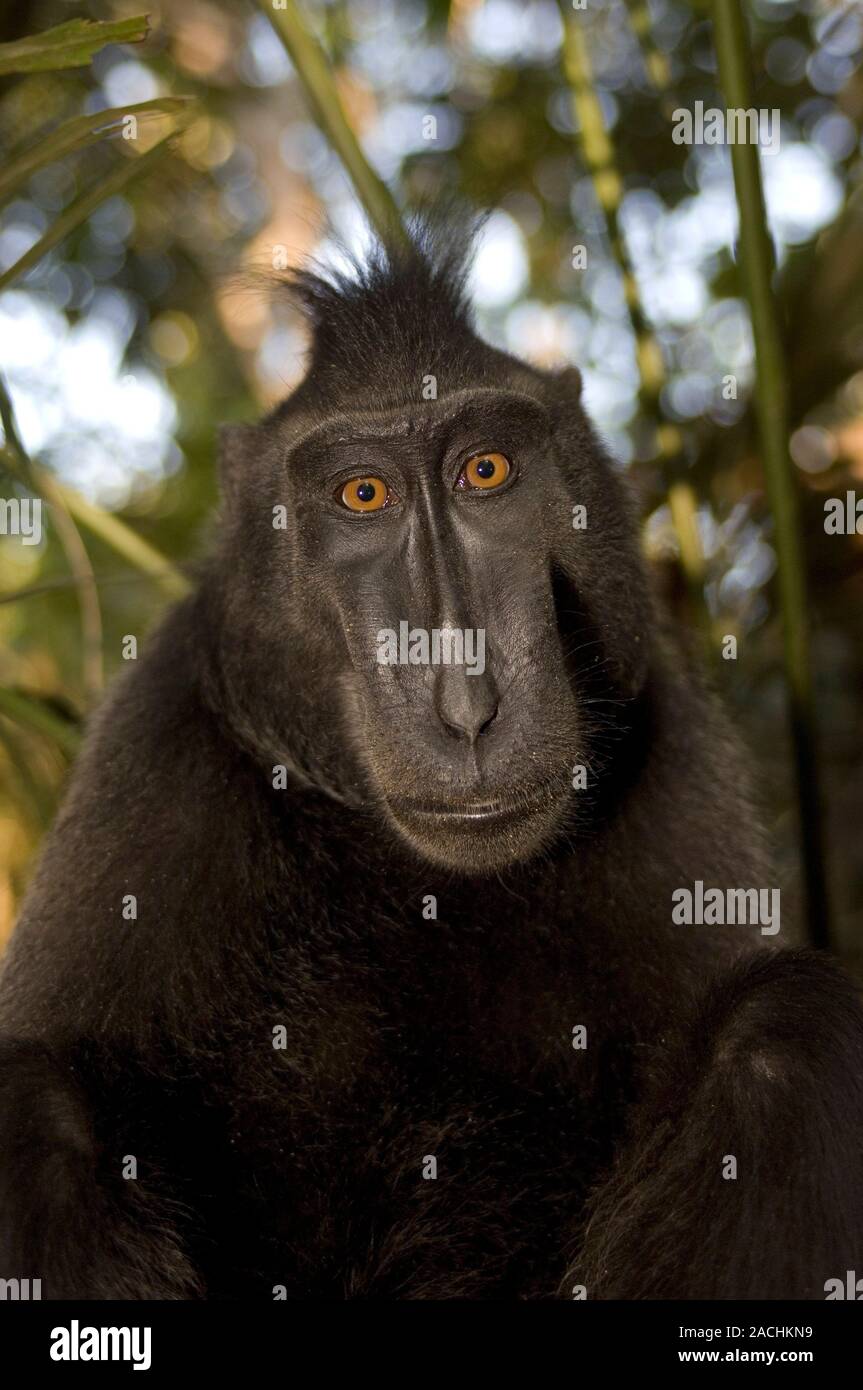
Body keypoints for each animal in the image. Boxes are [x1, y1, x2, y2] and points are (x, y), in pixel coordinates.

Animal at [1, 213, 861, 1301]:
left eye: (484, 471)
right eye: (363, 493)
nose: (467, 705)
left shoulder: (675, 759)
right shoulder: (149, 761)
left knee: (780, 1042)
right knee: (29, 1111)